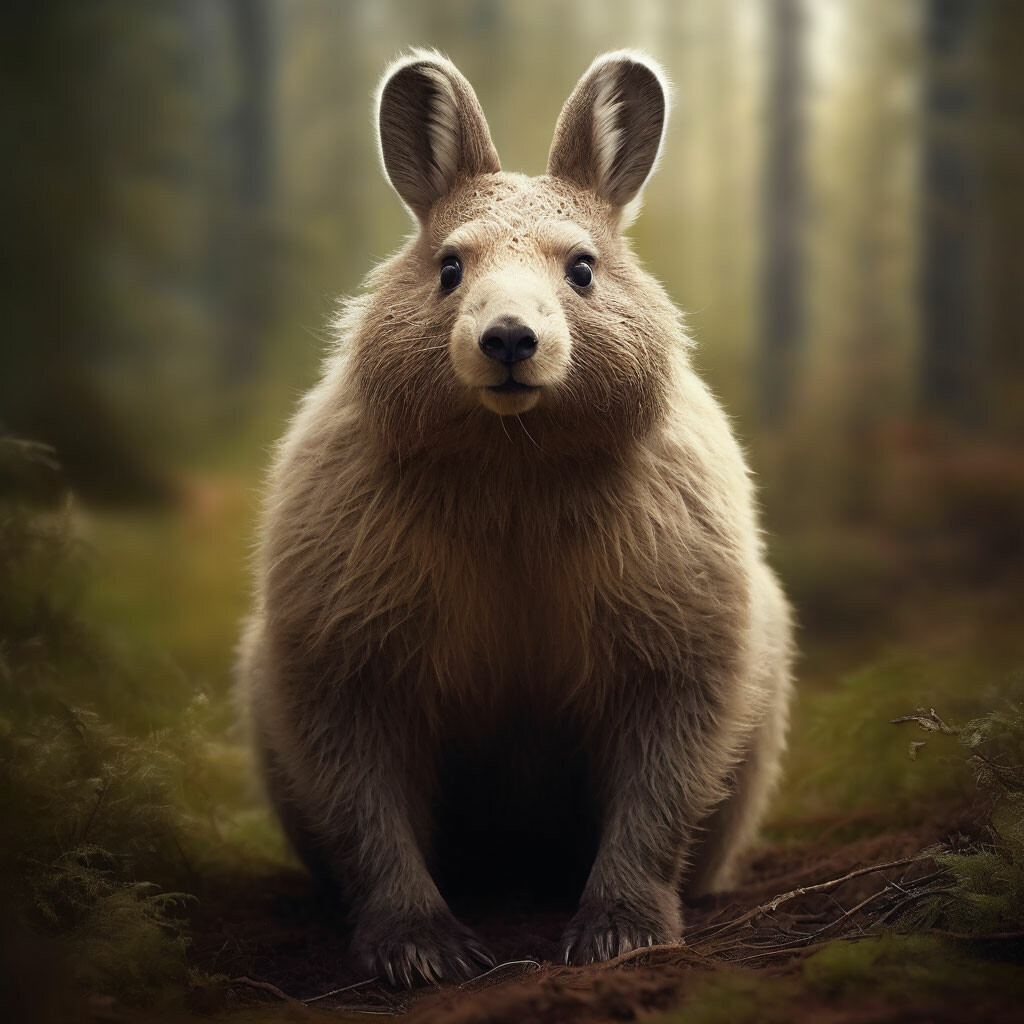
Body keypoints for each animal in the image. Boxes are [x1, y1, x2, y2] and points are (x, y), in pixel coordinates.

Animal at [237, 48, 794, 988]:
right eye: (448, 267)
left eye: (583, 268)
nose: (507, 340)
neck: (513, 470)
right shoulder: (340, 651)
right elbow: (365, 806)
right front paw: (421, 949)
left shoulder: (685, 645)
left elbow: (660, 794)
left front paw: (621, 933)